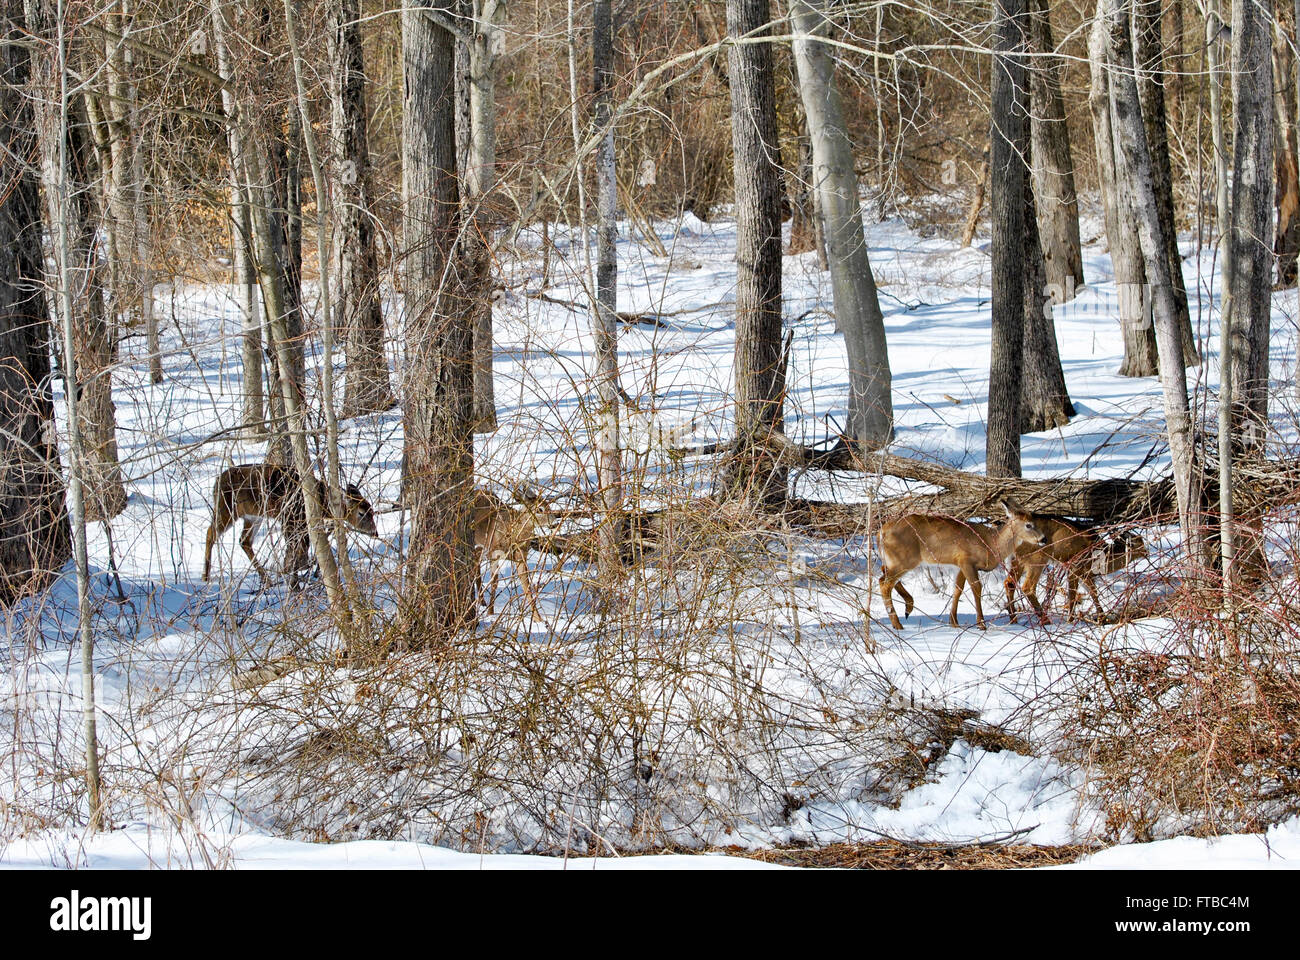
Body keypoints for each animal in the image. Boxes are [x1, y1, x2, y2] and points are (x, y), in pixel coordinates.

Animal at [202, 463, 379, 583]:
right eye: (362, 513)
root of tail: (217, 481)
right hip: (226, 508)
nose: (375, 533)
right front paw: (294, 570)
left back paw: (266, 579)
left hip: (253, 516)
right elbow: (298, 545)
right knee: (210, 533)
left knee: (244, 541)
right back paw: (205, 576)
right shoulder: (289, 518)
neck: (321, 500)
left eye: (372, 511)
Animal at [878, 499, 1047, 630]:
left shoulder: (959, 564)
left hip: (895, 559)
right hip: (904, 558)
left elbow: (958, 589)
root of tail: (881, 532)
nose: (1044, 539)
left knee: (883, 574)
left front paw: (954, 622)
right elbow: (976, 587)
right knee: (885, 583)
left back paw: (908, 608)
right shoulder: (966, 559)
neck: (991, 543)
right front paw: (981, 624)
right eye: (1028, 525)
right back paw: (897, 624)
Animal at [1003, 517, 1148, 623]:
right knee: (1027, 587)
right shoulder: (1074, 566)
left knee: (1009, 583)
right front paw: (1070, 621)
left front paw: (1102, 619)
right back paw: (1046, 621)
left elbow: (1093, 592)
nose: (1147, 552)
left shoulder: (1085, 573)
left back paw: (1014, 619)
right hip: (1037, 557)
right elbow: (1073, 595)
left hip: (1018, 560)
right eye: (1139, 542)